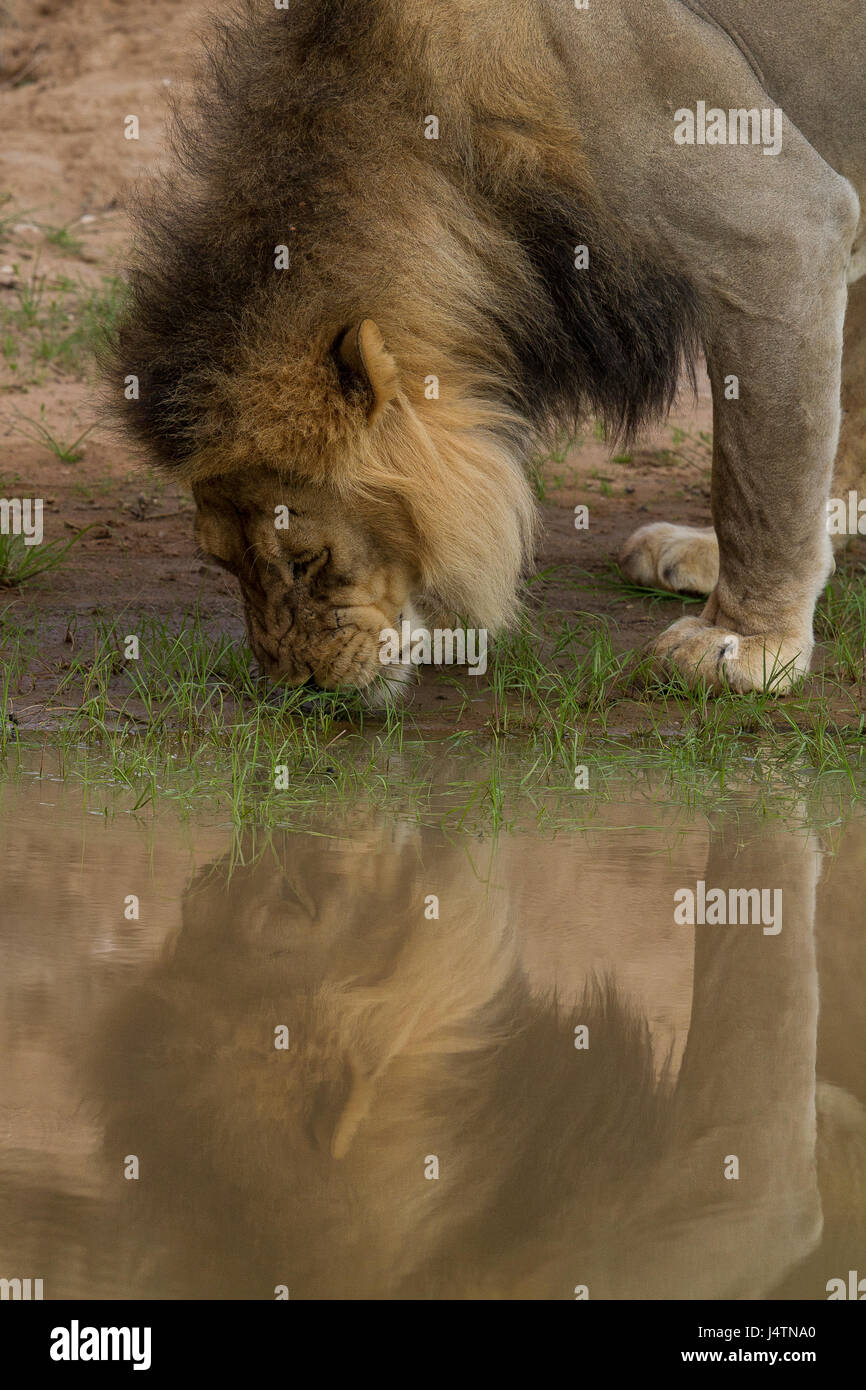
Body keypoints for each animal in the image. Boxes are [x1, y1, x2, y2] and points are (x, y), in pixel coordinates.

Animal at [111, 0, 866, 697]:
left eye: (307, 560)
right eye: (222, 562)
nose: (296, 687)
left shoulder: (777, 229)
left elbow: (758, 479)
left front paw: (746, 643)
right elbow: (831, 418)